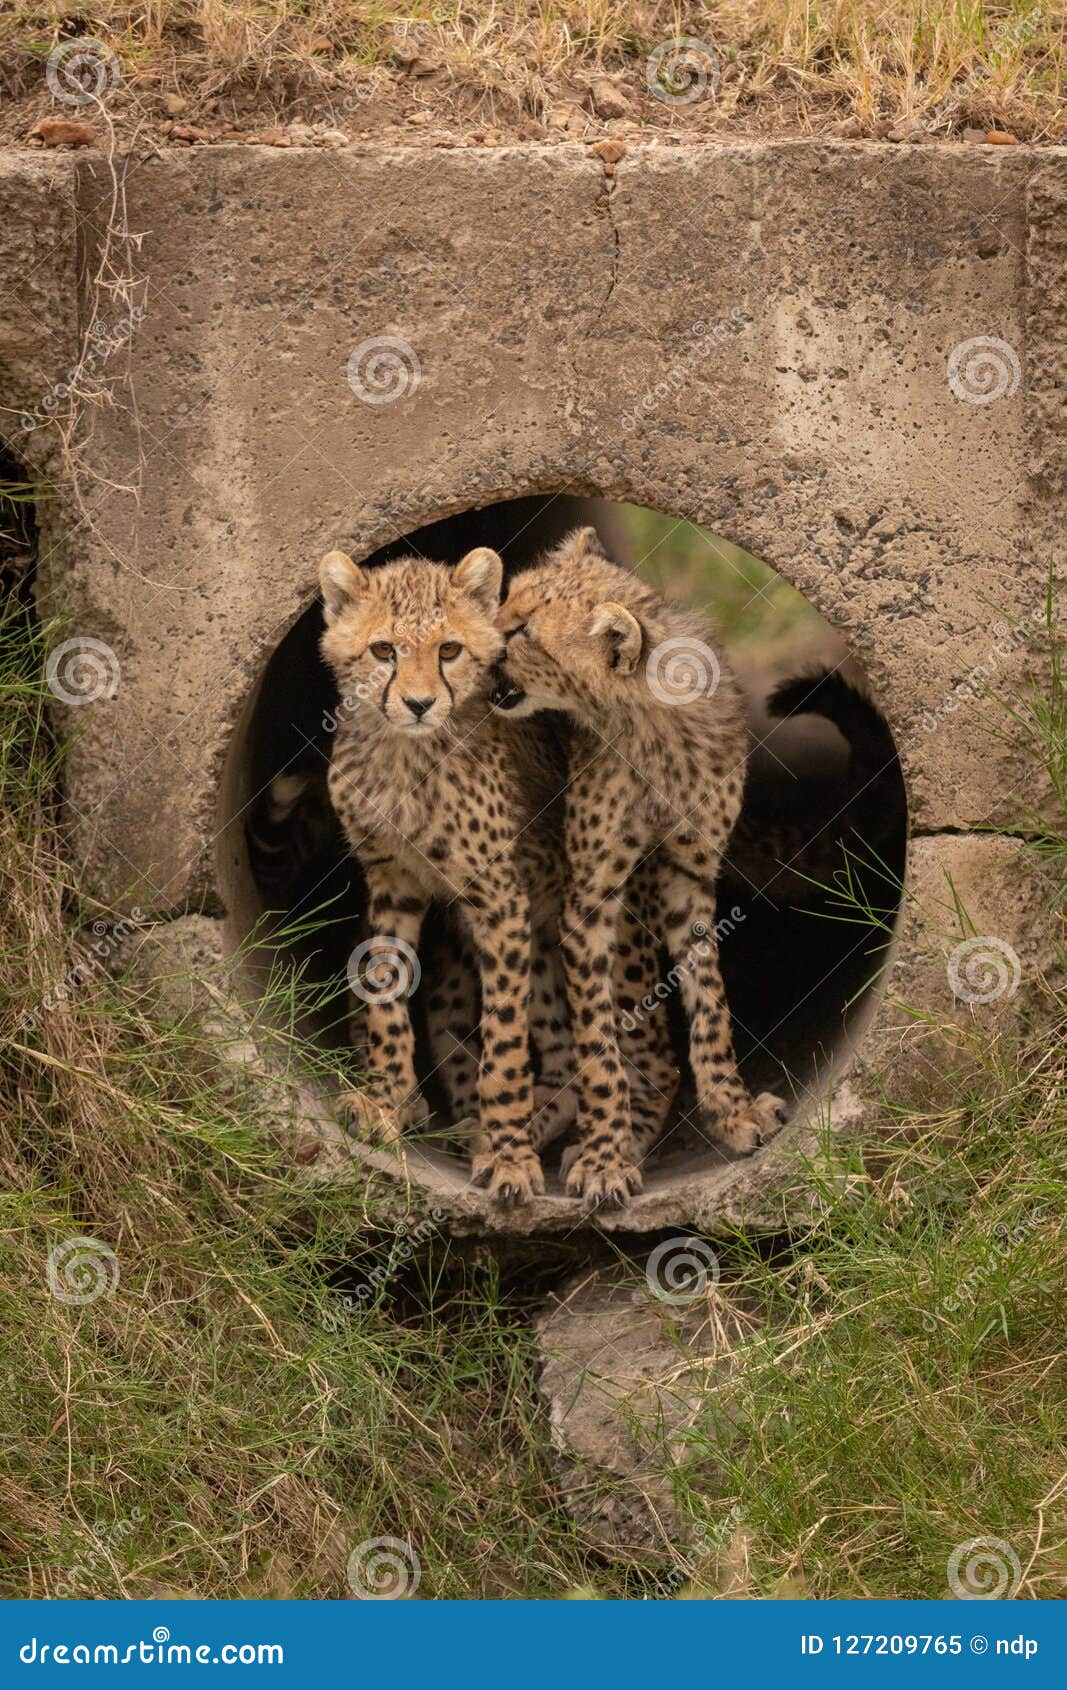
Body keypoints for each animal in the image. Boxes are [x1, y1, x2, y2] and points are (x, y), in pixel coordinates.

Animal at [490, 526, 789, 1204]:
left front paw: (733, 1112)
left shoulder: (689, 878)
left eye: (522, 629)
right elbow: (598, 1050)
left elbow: (710, 1008)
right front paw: (604, 1156)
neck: (649, 719)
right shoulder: (592, 898)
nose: (473, 640)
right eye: (505, 598)